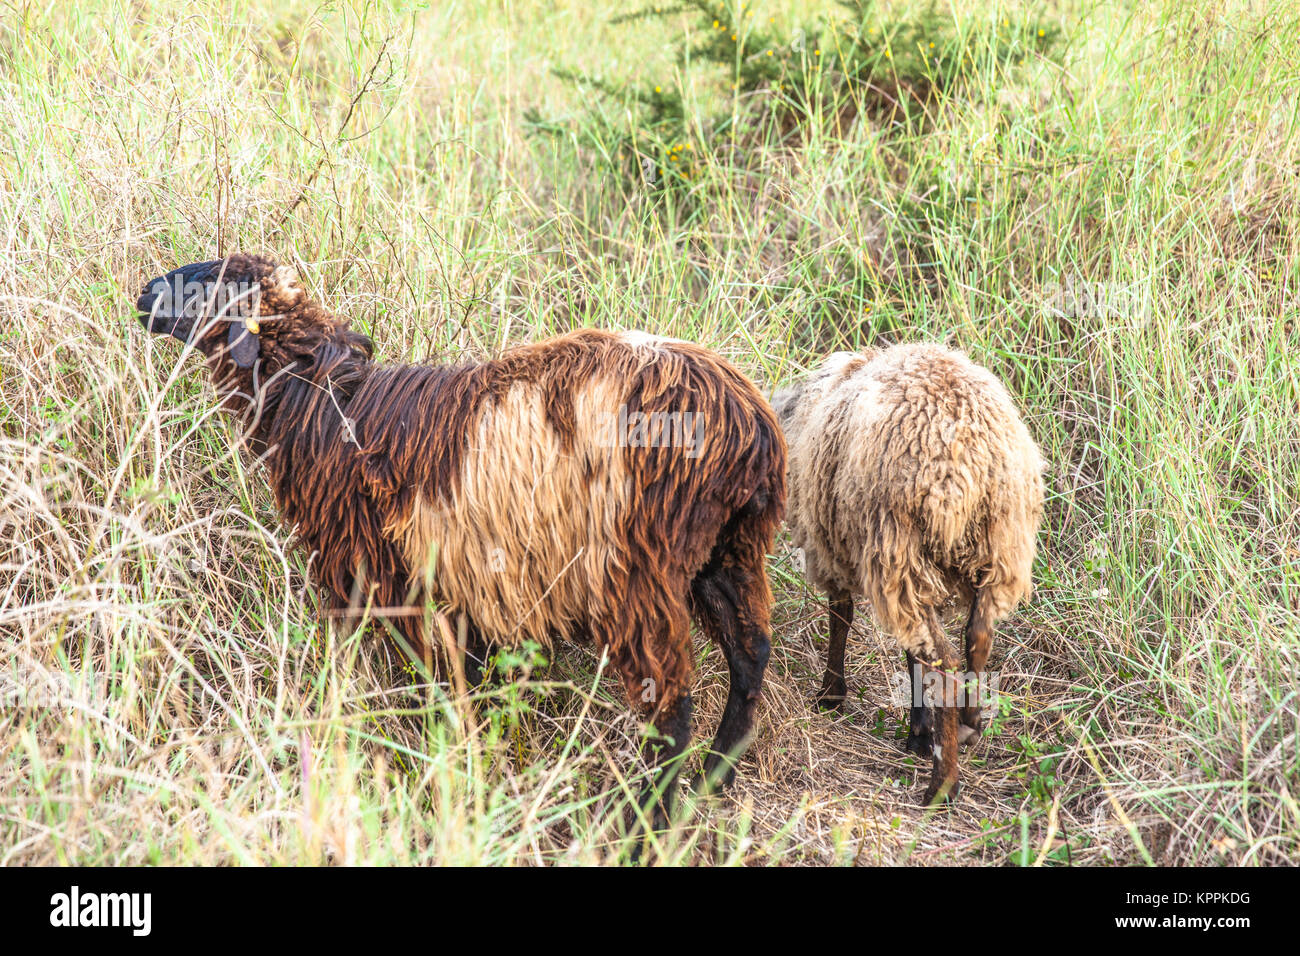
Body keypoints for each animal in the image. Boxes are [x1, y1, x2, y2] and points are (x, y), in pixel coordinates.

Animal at [134, 252, 786, 824]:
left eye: (204, 286)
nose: (142, 295)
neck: (321, 399)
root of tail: (750, 427)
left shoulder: (384, 576)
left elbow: (426, 681)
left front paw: (441, 760)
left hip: (638, 567)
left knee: (670, 706)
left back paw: (644, 825)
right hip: (729, 551)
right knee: (750, 652)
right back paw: (714, 778)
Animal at [772, 343, 1044, 804]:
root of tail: (962, 458)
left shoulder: (834, 551)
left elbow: (841, 618)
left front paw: (831, 695)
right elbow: (909, 649)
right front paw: (918, 732)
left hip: (900, 548)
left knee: (945, 659)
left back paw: (942, 783)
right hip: (998, 547)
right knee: (976, 636)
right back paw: (970, 721)